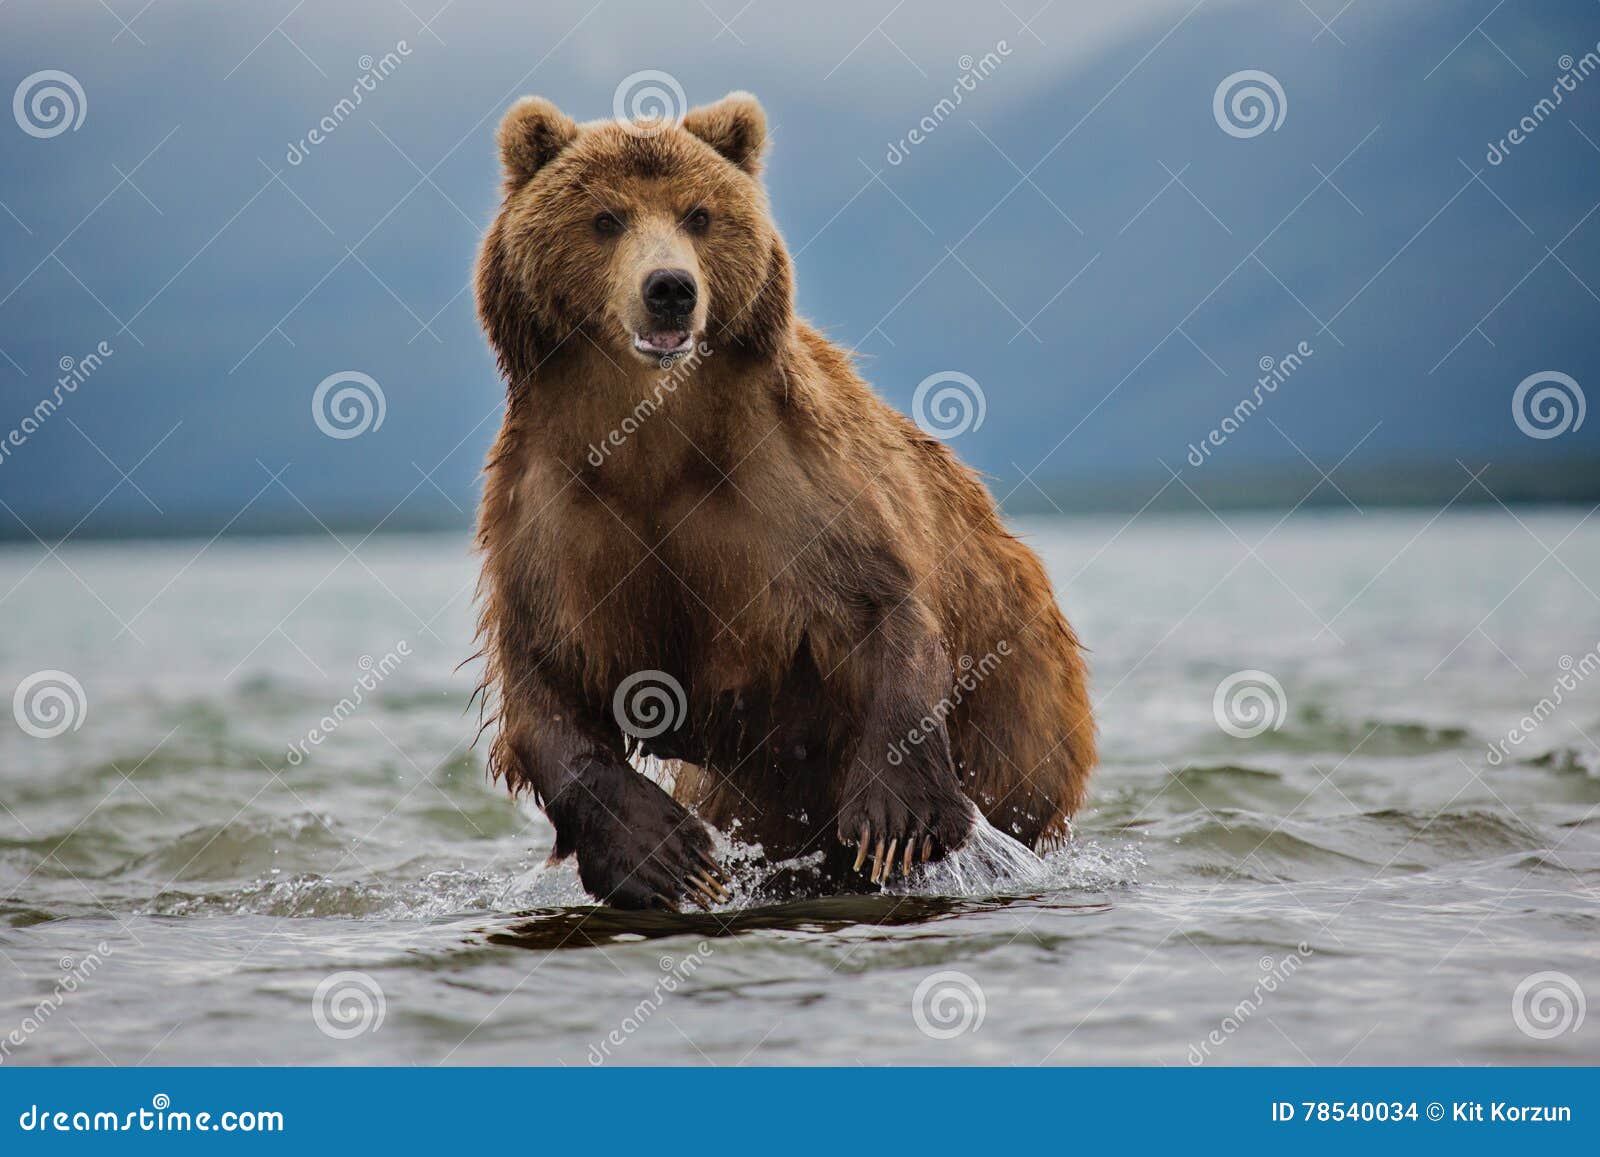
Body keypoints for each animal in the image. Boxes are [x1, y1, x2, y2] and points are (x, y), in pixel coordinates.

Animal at [472, 91, 1096, 910]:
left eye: (699, 214)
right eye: (606, 218)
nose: (670, 288)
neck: (652, 439)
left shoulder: (791, 487)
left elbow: (880, 610)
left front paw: (893, 815)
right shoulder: (553, 514)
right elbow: (545, 681)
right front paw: (662, 852)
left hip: (1017, 690)